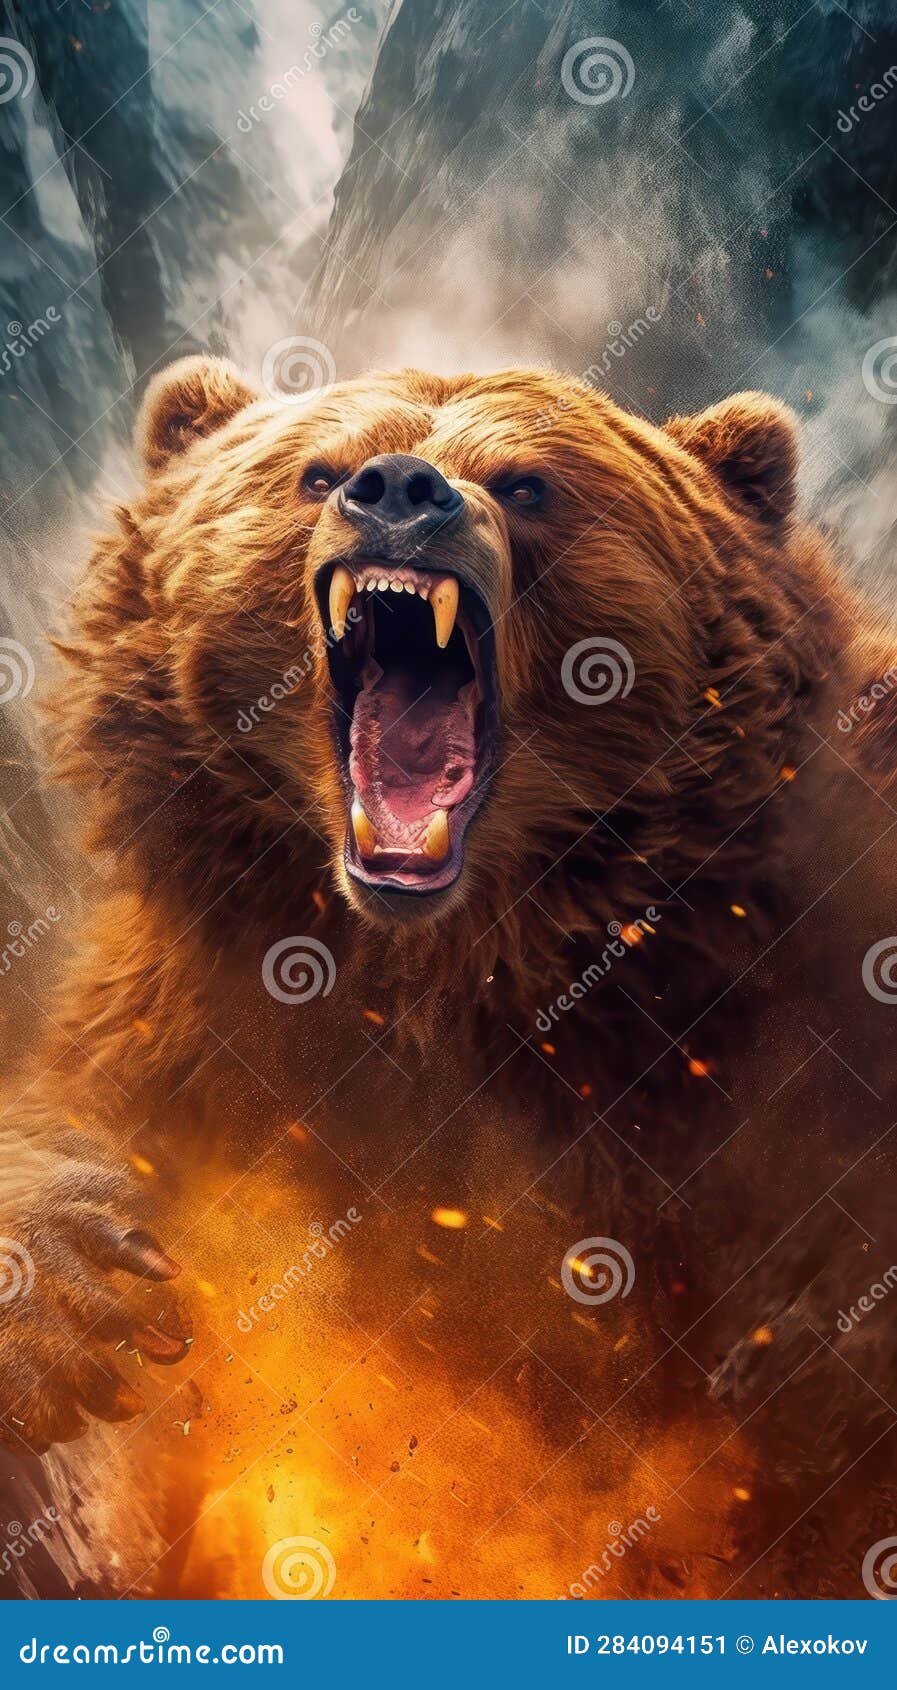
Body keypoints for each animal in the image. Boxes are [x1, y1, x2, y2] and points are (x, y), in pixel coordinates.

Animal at [1, 356, 896, 1599]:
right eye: (317, 469)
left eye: (526, 482)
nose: (399, 489)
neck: (457, 966)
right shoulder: (213, 1022)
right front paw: (78, 1286)